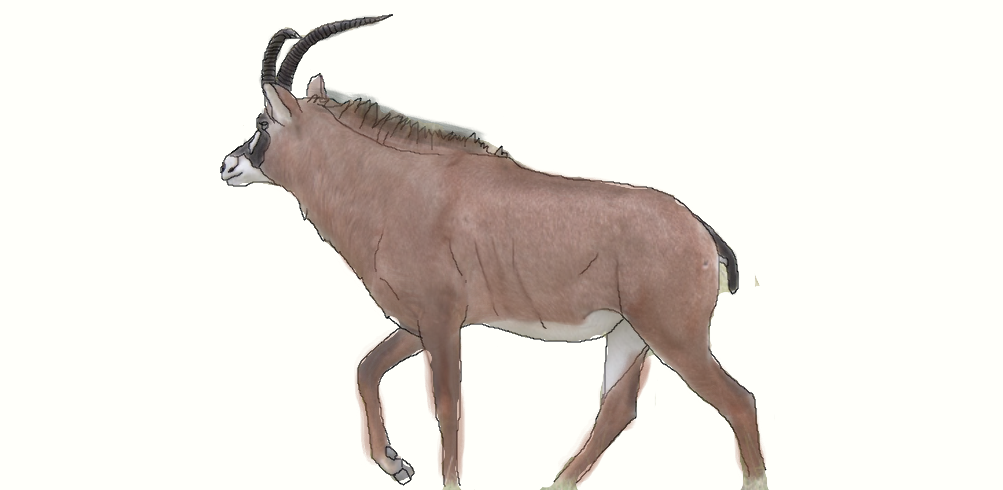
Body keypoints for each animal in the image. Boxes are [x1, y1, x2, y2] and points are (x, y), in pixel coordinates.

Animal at [220, 16, 769, 490]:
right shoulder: (420, 322)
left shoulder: (442, 321)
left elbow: (447, 407)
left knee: (739, 402)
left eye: (263, 122)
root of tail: (700, 230)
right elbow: (367, 368)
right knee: (618, 410)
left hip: (676, 339)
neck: (394, 186)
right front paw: (395, 464)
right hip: (630, 336)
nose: (227, 165)